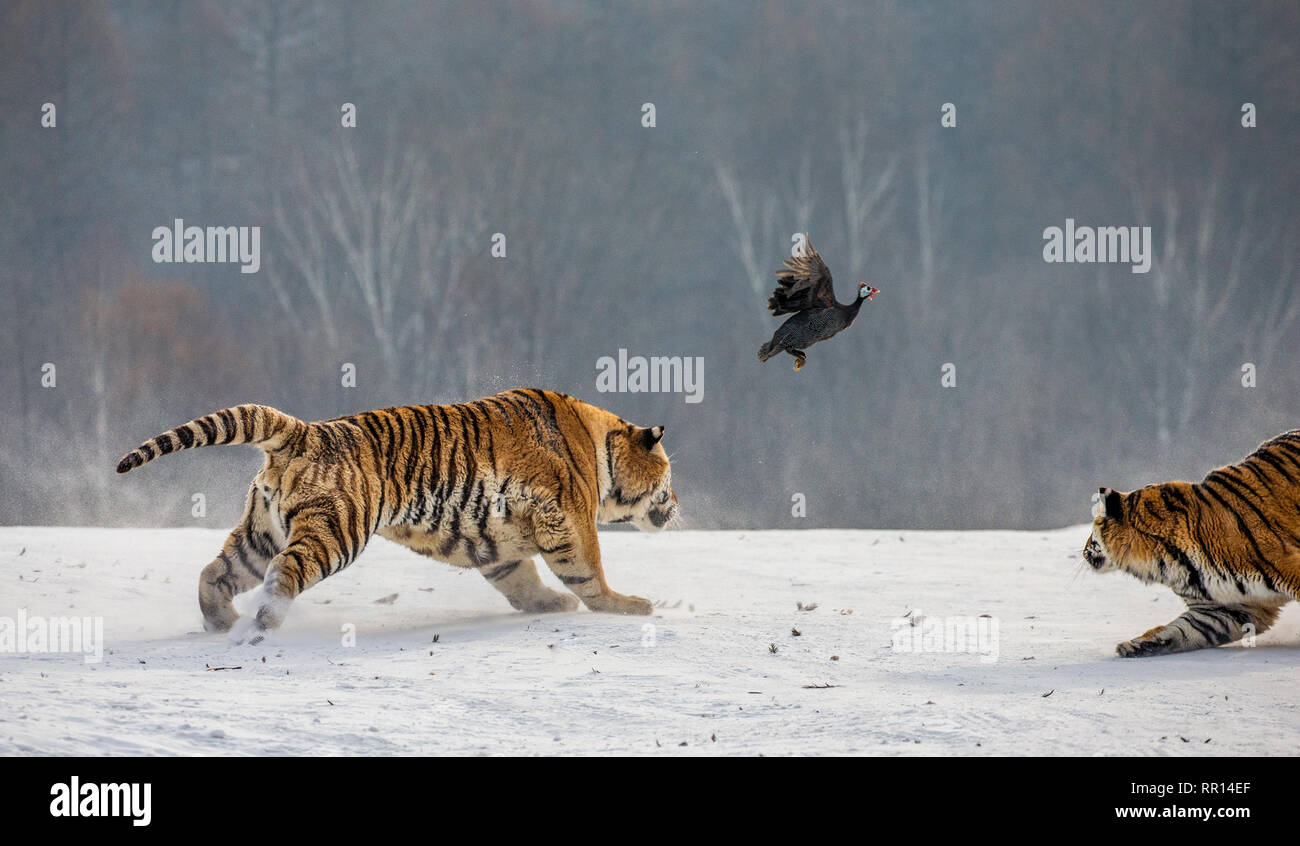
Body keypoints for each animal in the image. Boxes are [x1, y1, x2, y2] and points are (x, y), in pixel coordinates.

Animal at [115, 389, 678, 644]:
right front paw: (630, 606)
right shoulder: (570, 518)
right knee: (284, 573)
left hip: (261, 532)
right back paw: (265, 622)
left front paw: (552, 605)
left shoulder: (496, 544)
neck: (599, 443)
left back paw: (221, 621)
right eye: (668, 479)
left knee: (216, 571)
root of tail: (304, 429)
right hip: (335, 531)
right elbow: (590, 573)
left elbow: (522, 582)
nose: (676, 508)